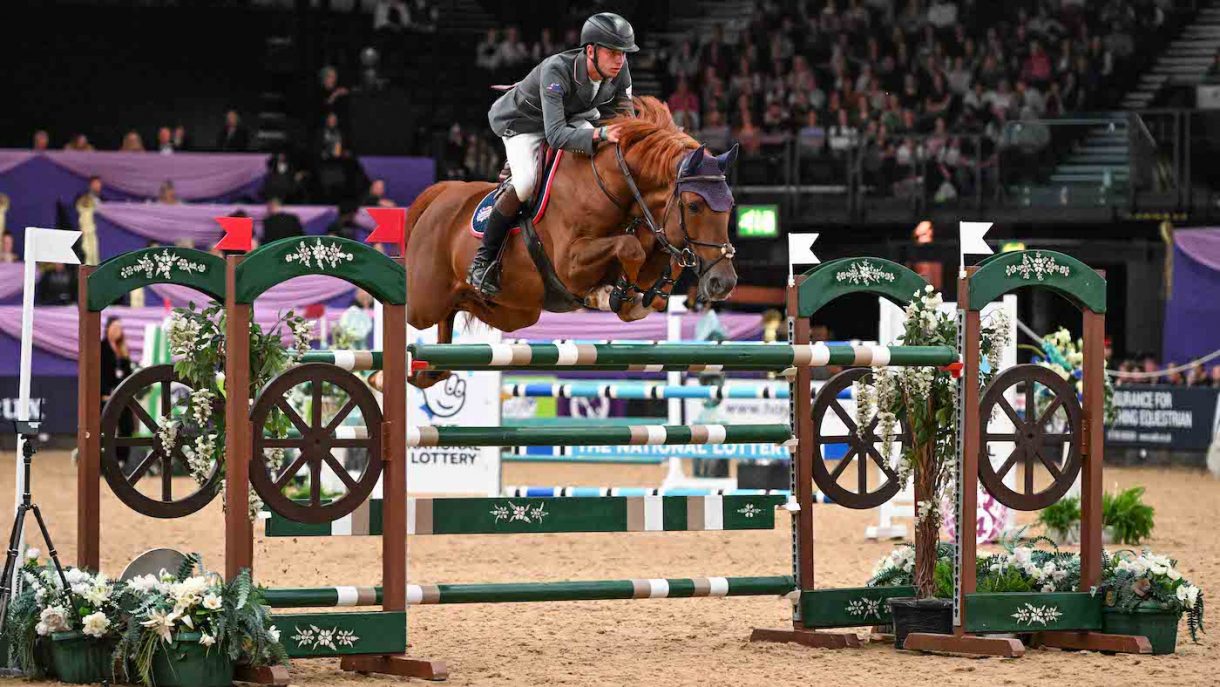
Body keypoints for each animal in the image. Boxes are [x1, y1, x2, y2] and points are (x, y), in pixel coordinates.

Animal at [403, 97, 739, 387]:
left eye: (731, 205)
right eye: (694, 206)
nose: (723, 283)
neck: (614, 190)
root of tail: (441, 193)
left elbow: (655, 266)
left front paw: (632, 295)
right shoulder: (570, 265)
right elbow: (629, 248)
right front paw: (613, 294)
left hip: (516, 311)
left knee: (459, 311)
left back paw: (430, 367)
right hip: (424, 303)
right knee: (418, 314)